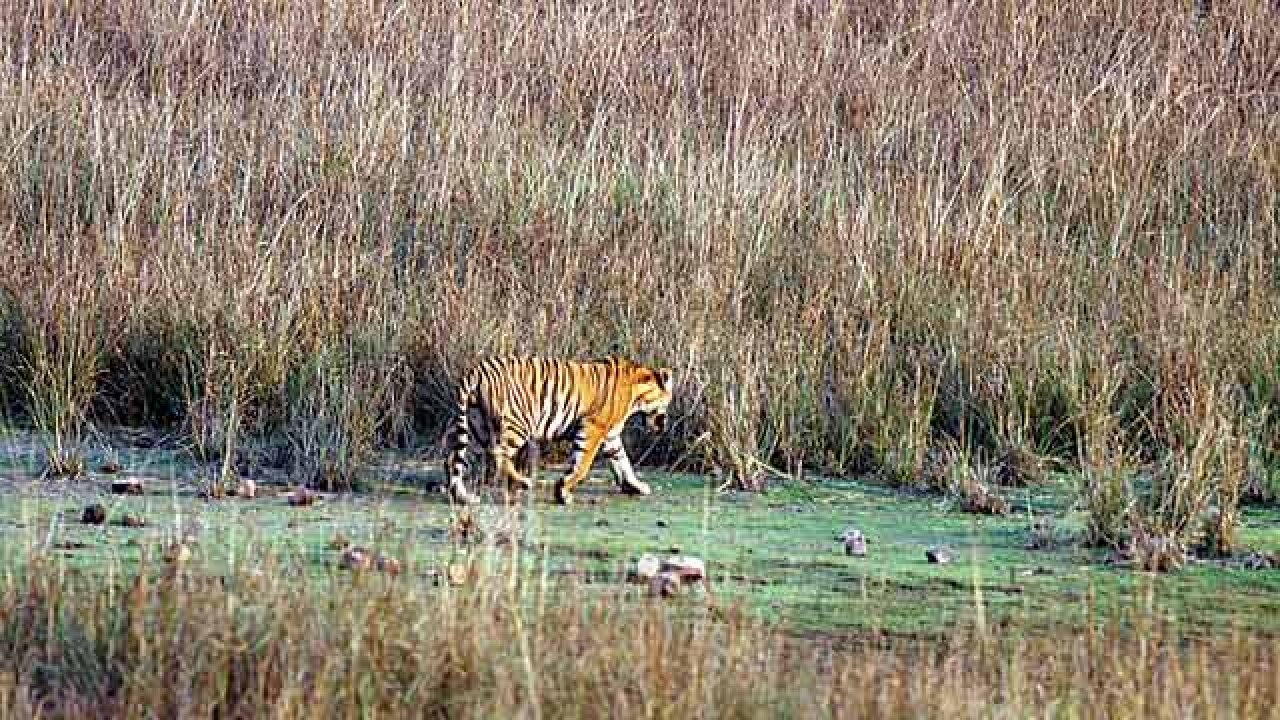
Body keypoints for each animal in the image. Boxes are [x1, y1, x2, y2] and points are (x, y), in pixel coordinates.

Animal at [444, 356, 673, 505]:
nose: (664, 424)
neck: (637, 396)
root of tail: (477, 370)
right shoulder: (593, 427)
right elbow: (582, 464)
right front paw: (562, 492)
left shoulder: (611, 436)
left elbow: (622, 462)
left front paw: (636, 486)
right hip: (517, 423)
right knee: (498, 454)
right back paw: (523, 482)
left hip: (476, 426)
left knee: (454, 459)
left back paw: (463, 497)